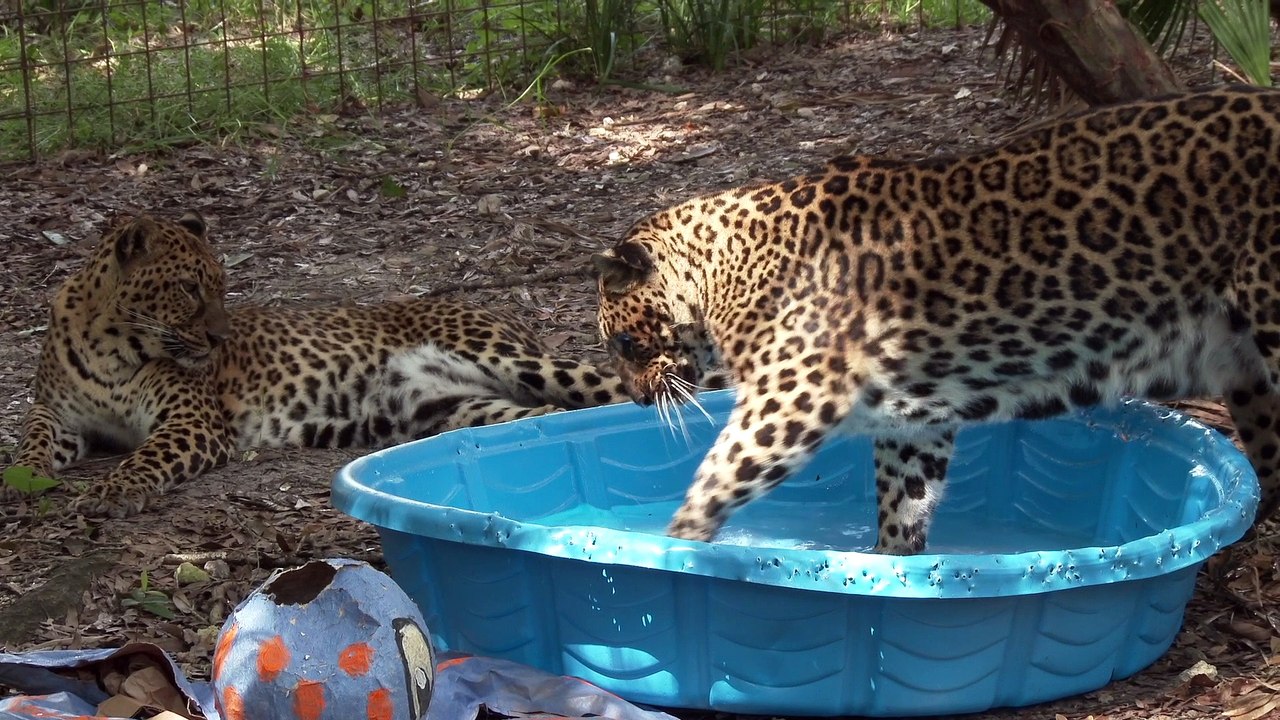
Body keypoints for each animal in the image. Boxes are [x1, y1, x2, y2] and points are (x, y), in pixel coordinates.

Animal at [7, 210, 629, 517]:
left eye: (222, 286)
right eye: (187, 288)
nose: (219, 336)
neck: (108, 340)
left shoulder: (192, 421)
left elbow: (146, 455)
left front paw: (115, 490)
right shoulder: (56, 413)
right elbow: (31, 438)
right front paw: (24, 478)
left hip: (513, 358)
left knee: (614, 386)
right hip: (448, 408)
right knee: (546, 418)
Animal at [593, 84, 1280, 555]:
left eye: (625, 342)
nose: (635, 400)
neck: (725, 273)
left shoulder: (794, 395)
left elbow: (718, 476)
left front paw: (674, 547)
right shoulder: (912, 418)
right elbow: (904, 500)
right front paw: (893, 569)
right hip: (1246, 373)